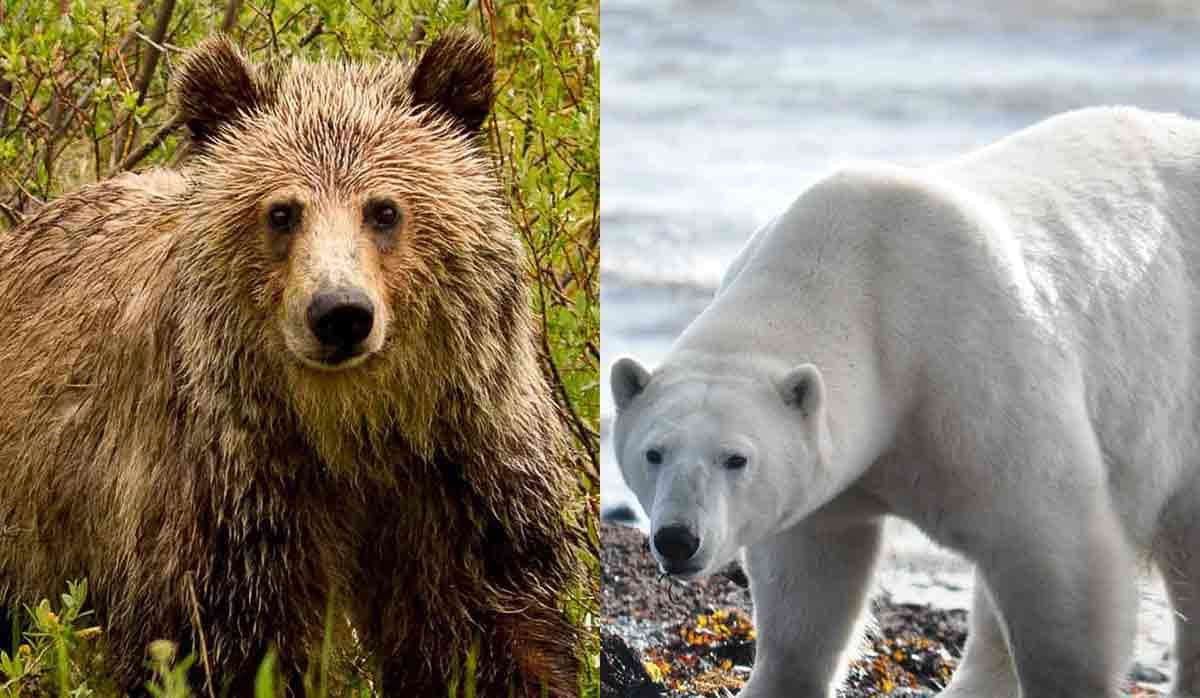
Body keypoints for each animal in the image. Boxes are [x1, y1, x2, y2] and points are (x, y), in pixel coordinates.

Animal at [0, 31, 586, 696]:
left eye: (384, 210)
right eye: (282, 212)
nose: (340, 312)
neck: (351, 430)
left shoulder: (461, 471)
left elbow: (489, 633)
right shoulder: (229, 494)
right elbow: (220, 649)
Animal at [610, 106, 1200, 698]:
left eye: (737, 458)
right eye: (654, 453)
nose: (677, 539)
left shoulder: (977, 374)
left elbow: (1056, 553)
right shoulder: (833, 478)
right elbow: (809, 588)